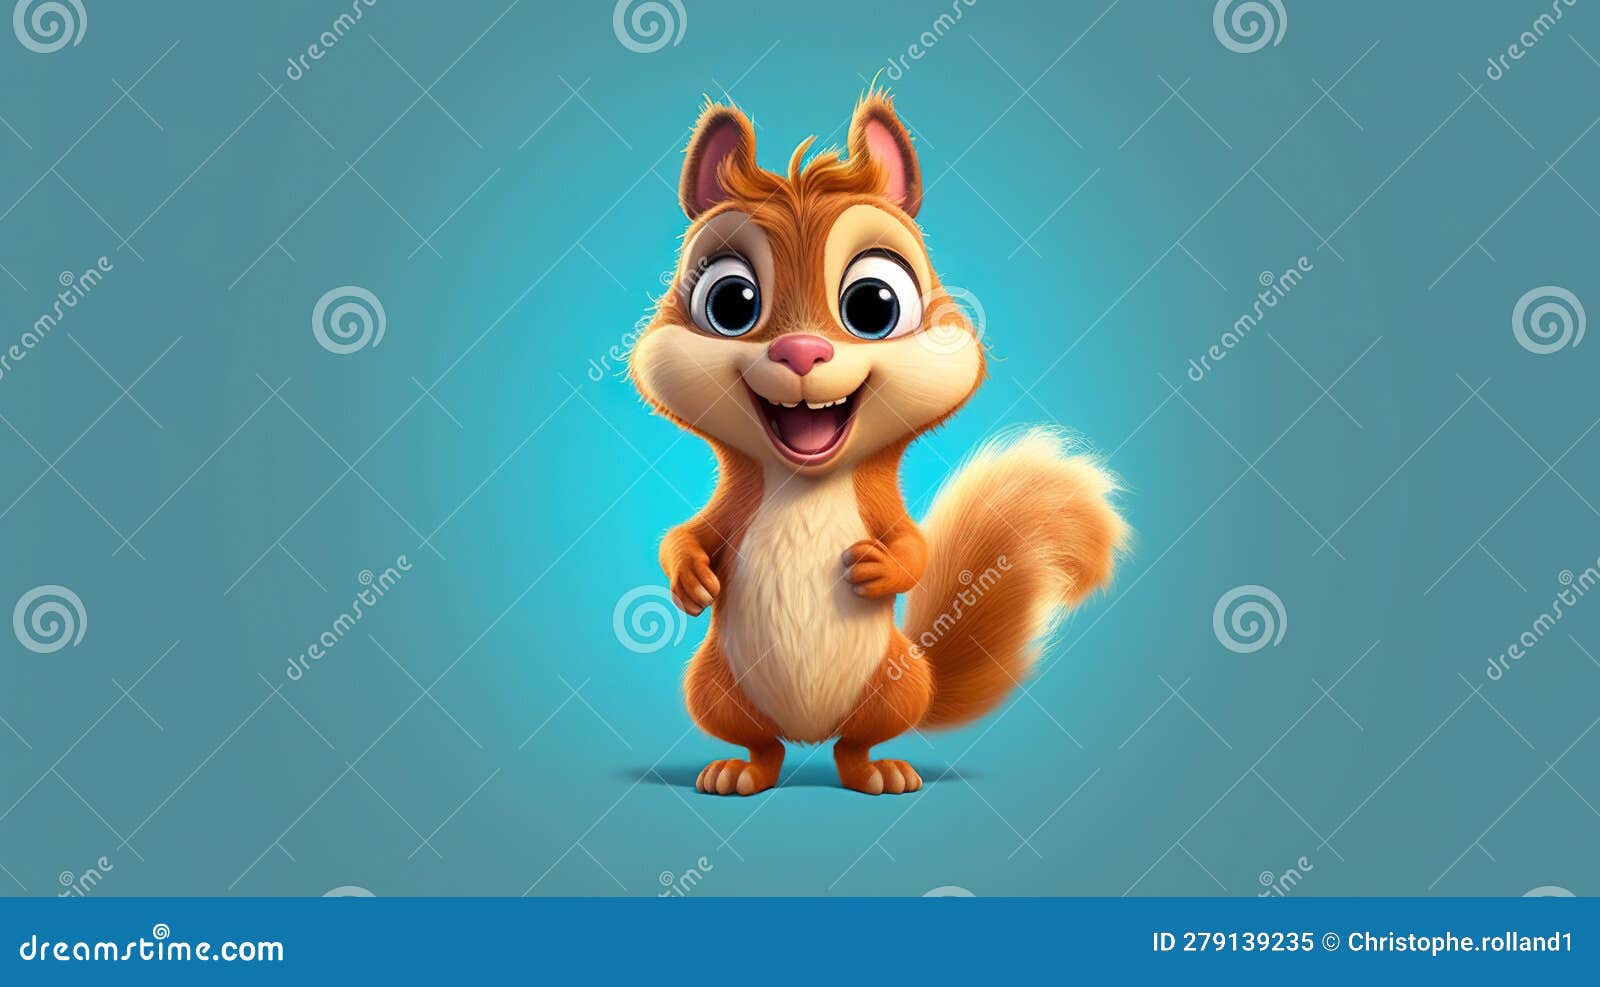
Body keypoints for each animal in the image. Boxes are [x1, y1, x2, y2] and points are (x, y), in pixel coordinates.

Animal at [629, 92, 1127, 796]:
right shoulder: (730, 511)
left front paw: (879, 569)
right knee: (762, 745)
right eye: (730, 303)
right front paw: (692, 578)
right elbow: (688, 534)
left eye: (874, 305)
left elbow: (912, 545)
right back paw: (740, 772)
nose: (800, 351)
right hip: (713, 688)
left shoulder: (882, 511)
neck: (806, 480)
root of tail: (808, 733)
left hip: (896, 684)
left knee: (855, 745)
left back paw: (879, 772)